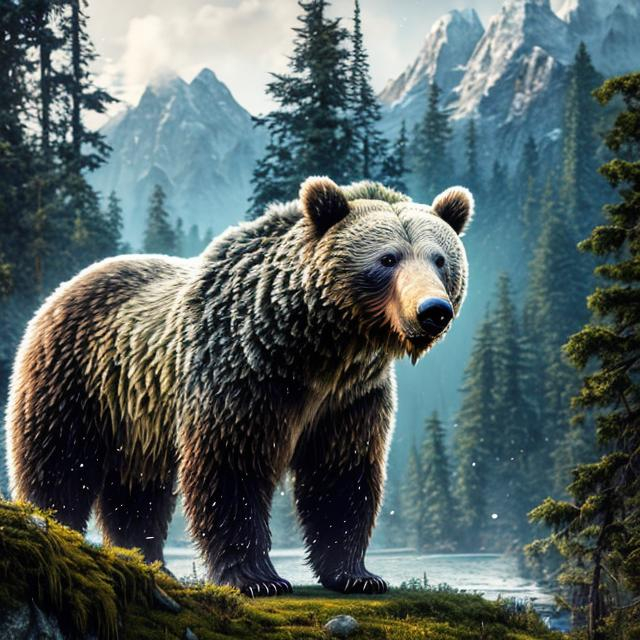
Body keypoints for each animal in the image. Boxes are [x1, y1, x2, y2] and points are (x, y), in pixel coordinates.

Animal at [5, 177, 473, 597]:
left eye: (439, 259)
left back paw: (148, 561)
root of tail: (66, 286)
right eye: (388, 258)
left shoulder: (350, 399)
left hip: (139, 416)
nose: (433, 309)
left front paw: (357, 575)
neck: (318, 349)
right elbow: (231, 469)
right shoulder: (242, 375)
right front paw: (259, 579)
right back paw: (54, 525)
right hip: (76, 380)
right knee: (60, 464)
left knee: (137, 491)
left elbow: (341, 474)